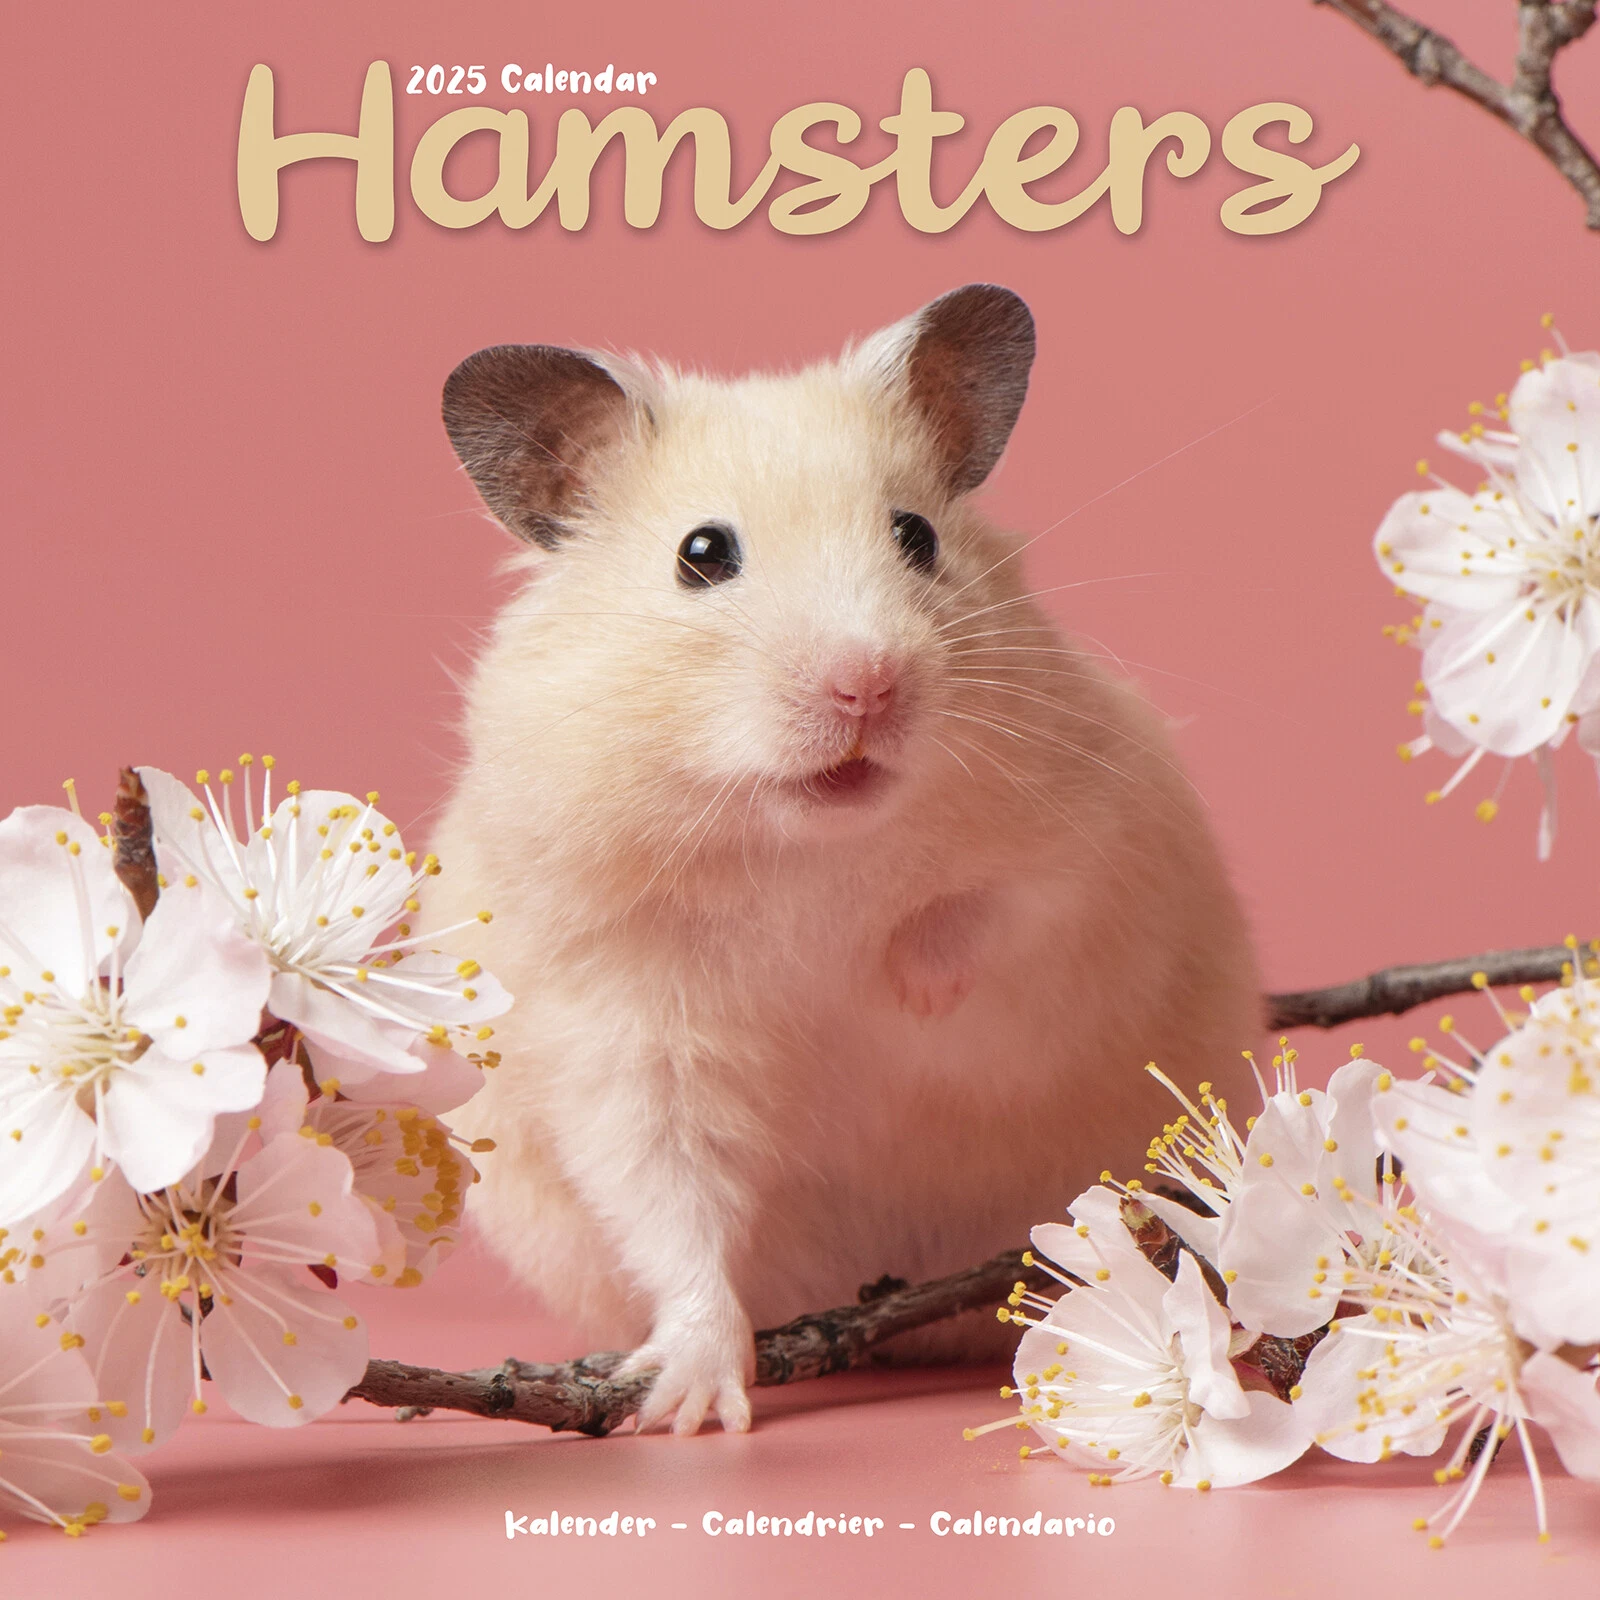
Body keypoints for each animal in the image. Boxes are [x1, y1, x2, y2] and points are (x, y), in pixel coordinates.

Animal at [425, 285, 1260, 1435]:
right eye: (701, 552)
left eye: (915, 534)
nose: (867, 682)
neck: (808, 851)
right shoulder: (624, 1024)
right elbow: (671, 1203)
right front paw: (687, 1405)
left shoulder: (1098, 843)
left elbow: (992, 914)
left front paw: (906, 991)